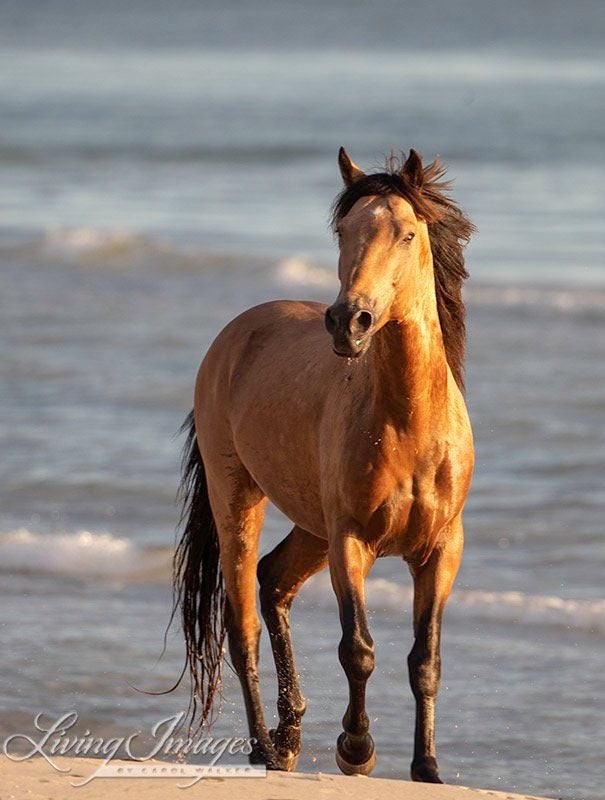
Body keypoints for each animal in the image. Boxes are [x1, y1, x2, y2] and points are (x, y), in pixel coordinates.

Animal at [174, 147, 475, 783]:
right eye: (344, 230)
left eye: (407, 233)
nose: (348, 321)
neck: (407, 421)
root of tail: (235, 334)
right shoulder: (351, 541)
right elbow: (357, 648)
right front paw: (355, 750)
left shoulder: (441, 549)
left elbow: (426, 660)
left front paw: (427, 768)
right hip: (239, 500)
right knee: (242, 624)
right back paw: (265, 749)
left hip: (310, 527)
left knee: (273, 582)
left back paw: (288, 738)